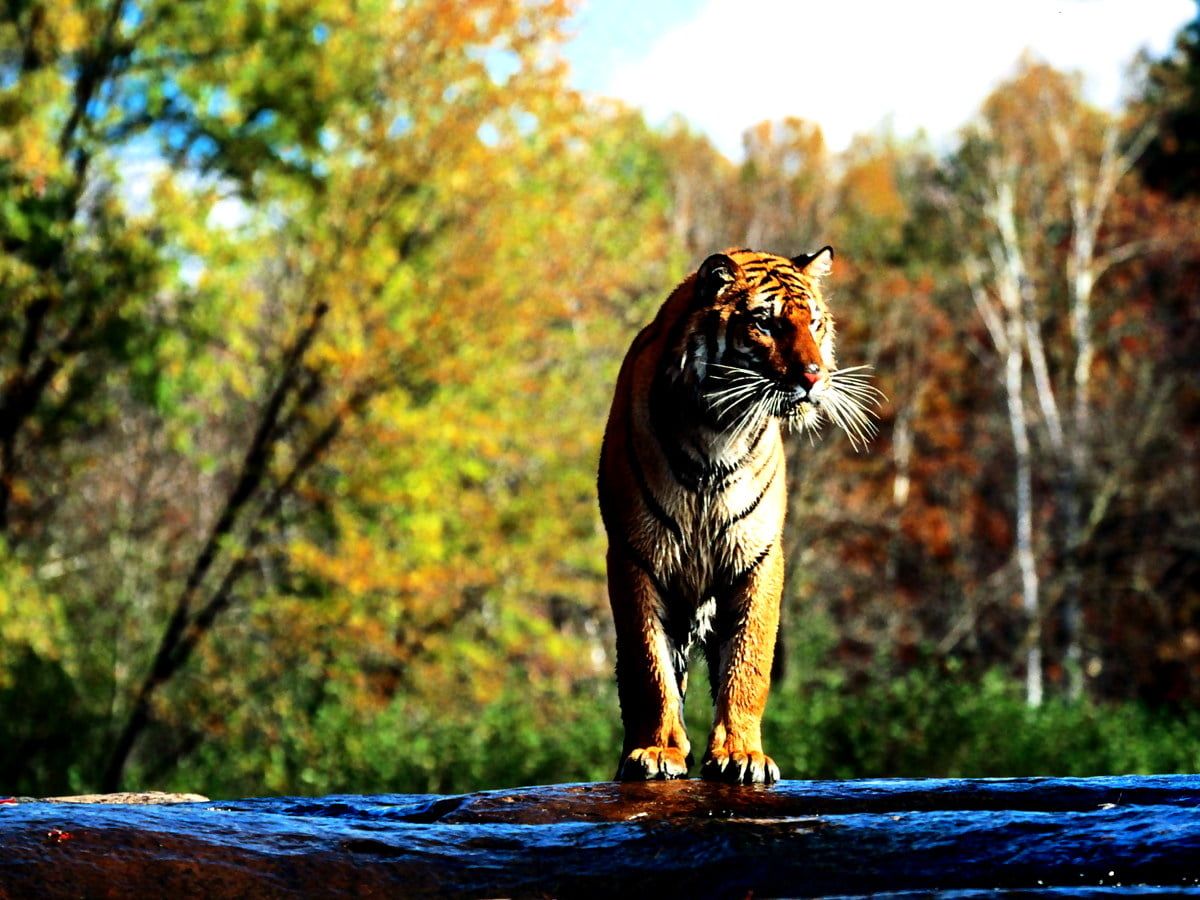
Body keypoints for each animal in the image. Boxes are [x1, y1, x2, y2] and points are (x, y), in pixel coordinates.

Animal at [597, 246, 881, 783]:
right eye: (766, 324)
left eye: (814, 322)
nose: (814, 376)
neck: (716, 433)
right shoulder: (636, 556)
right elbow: (650, 667)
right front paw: (657, 751)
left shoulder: (759, 557)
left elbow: (749, 662)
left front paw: (741, 754)